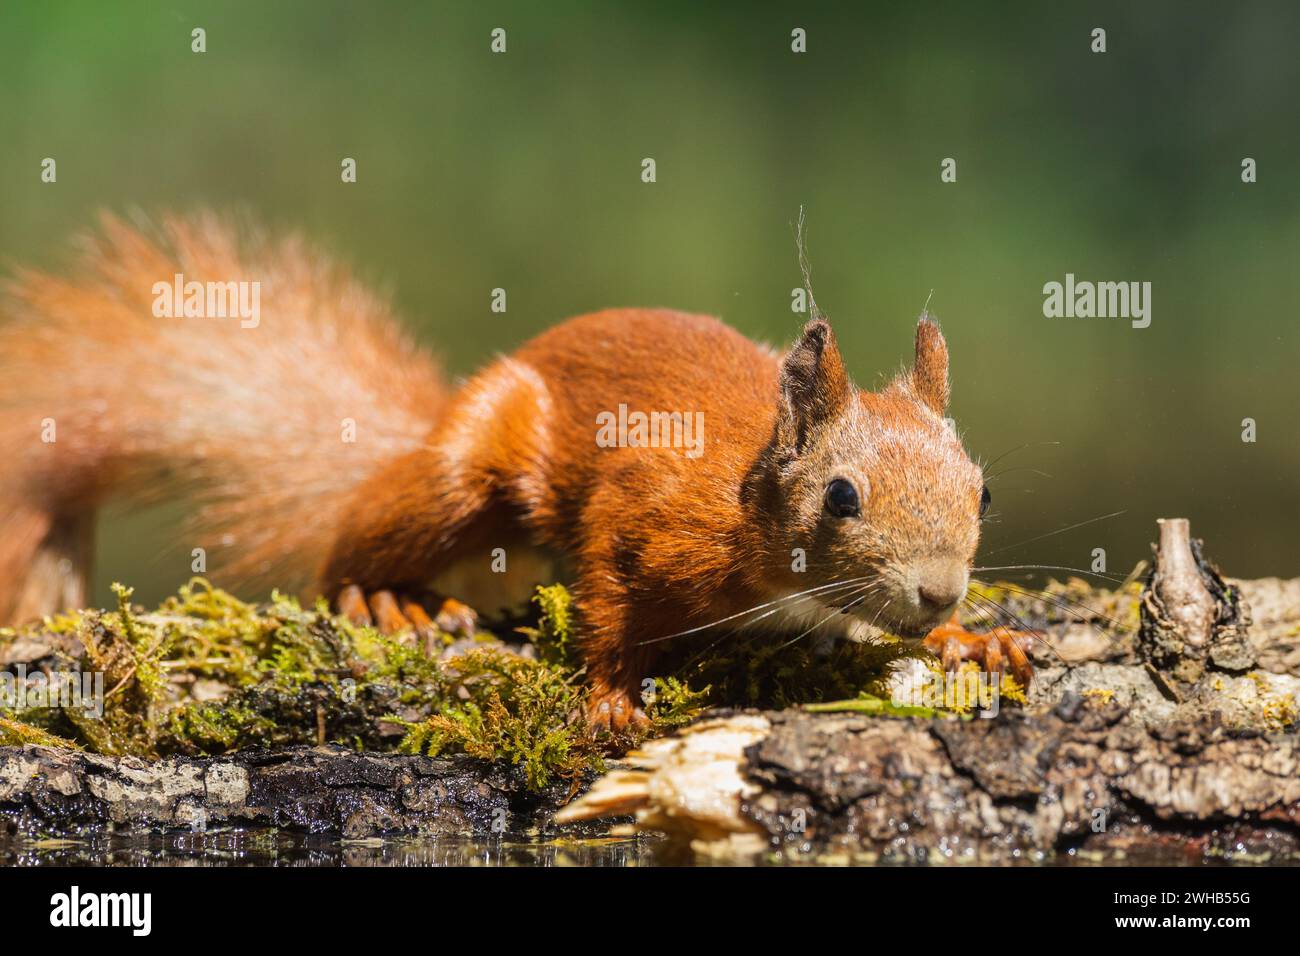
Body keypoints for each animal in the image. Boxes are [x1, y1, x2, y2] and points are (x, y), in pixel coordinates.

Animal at [0, 214, 1032, 730]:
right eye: (841, 496)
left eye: (984, 490)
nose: (941, 591)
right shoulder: (643, 514)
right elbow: (608, 601)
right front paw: (610, 700)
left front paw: (968, 643)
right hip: (462, 476)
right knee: (351, 545)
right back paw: (387, 600)